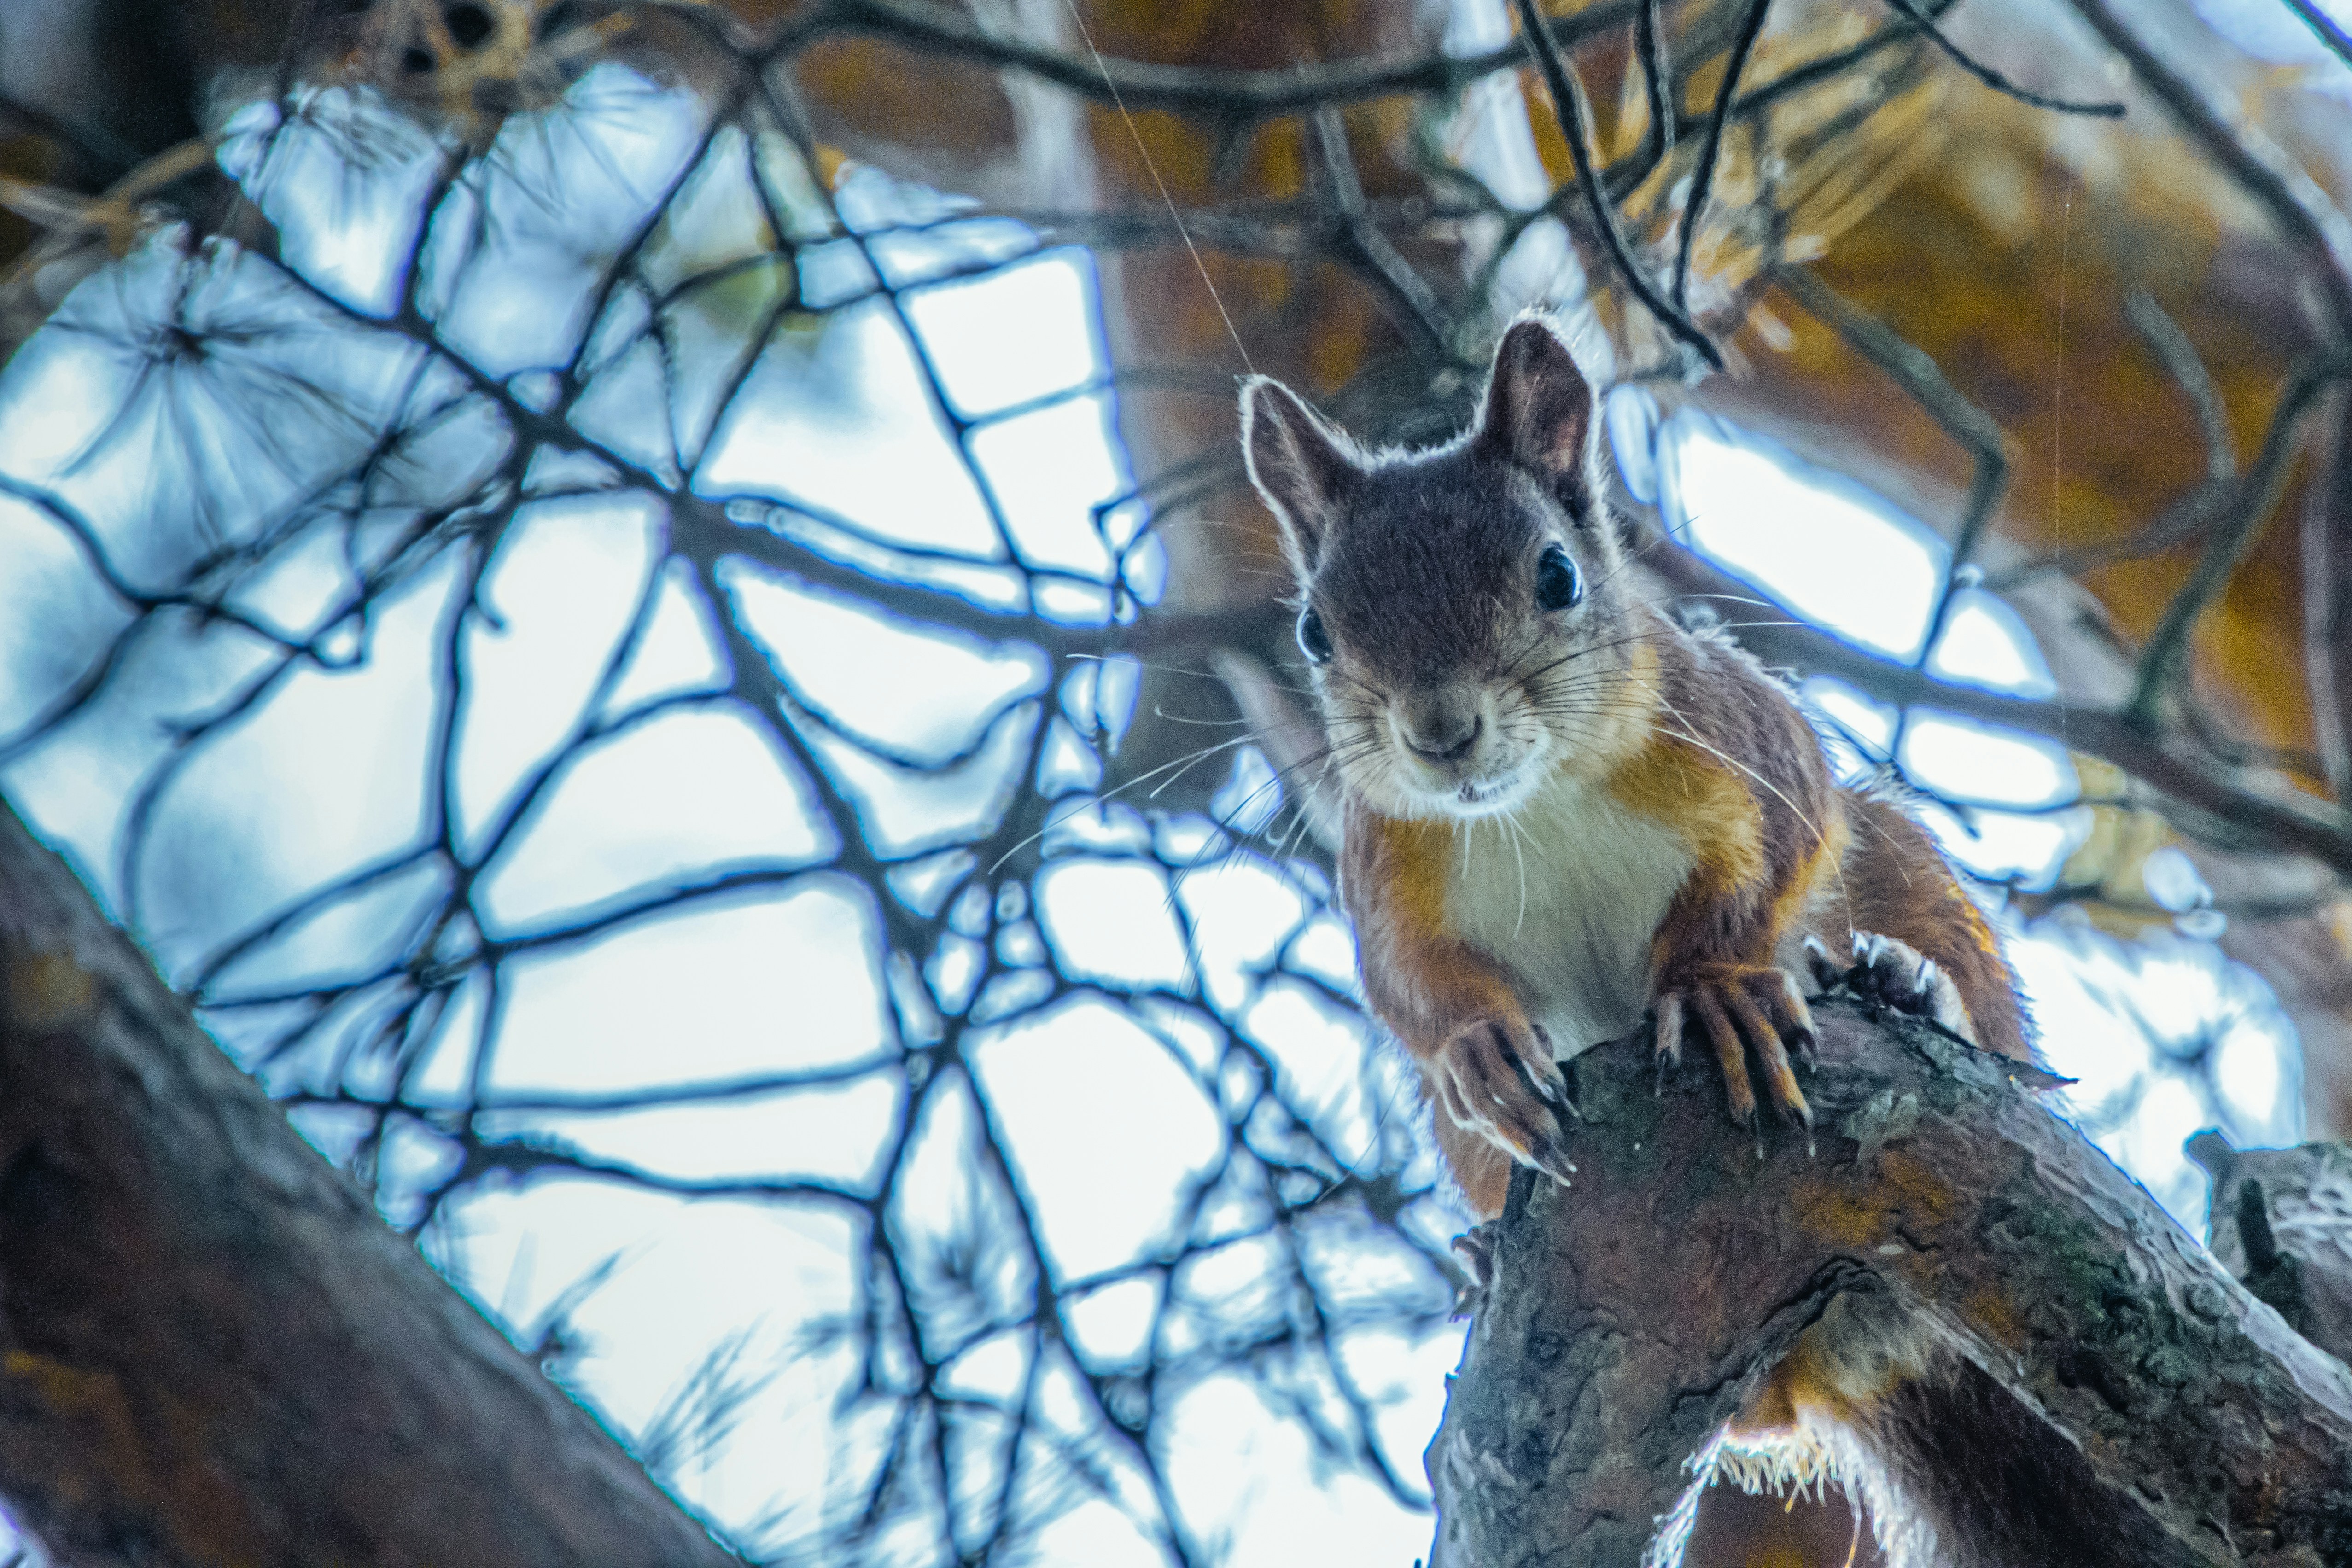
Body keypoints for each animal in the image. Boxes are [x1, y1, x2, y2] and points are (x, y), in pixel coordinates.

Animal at [1238, 315, 2063, 1567]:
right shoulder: (1383, 871)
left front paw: (1715, 986)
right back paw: (1484, 1256)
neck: (1535, 805)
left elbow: (1775, 856)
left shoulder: (1745, 740)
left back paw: (1904, 984)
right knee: (1763, 1411)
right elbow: (1409, 990)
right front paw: (1480, 1050)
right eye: (1313, 629)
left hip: (1910, 874)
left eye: (1556, 575)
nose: (1439, 732)